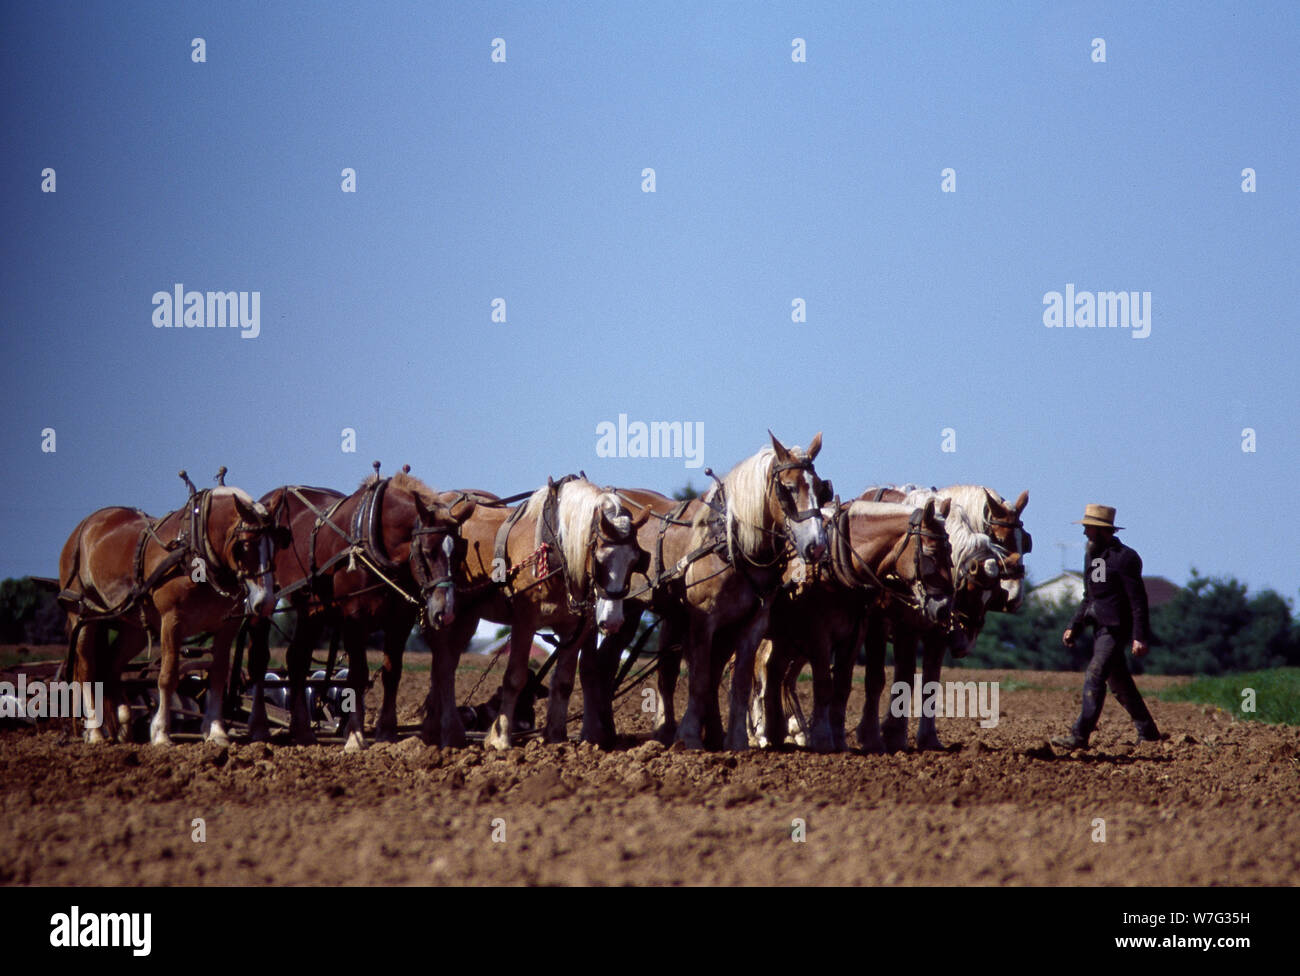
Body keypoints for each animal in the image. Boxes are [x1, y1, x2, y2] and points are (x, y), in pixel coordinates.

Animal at [57, 472, 288, 745]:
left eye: (276, 544)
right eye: (244, 545)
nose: (266, 601)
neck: (198, 552)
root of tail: (87, 525)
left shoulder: (226, 626)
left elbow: (219, 674)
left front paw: (216, 731)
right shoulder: (172, 620)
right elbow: (168, 675)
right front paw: (161, 733)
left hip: (133, 627)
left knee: (112, 665)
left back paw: (124, 724)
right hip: (83, 615)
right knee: (86, 669)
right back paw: (95, 731)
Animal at [247, 466, 475, 751]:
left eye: (459, 553)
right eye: (427, 550)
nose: (445, 611)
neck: (371, 537)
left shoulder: (400, 621)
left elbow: (392, 673)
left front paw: (386, 732)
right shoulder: (355, 619)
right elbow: (357, 674)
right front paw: (355, 736)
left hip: (311, 611)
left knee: (297, 659)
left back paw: (302, 731)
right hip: (263, 599)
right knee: (259, 659)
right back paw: (259, 727)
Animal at [419, 477, 648, 750]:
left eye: (634, 561)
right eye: (600, 558)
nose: (612, 622)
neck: (555, 550)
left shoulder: (575, 629)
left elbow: (564, 681)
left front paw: (556, 737)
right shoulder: (524, 623)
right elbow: (514, 678)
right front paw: (499, 738)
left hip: (466, 616)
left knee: (445, 664)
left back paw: (438, 729)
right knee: (443, 665)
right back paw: (444, 731)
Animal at [749, 496, 957, 752]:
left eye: (950, 551)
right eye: (931, 552)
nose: (944, 607)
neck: (834, 563)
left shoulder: (855, 634)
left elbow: (842, 686)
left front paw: (838, 739)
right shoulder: (819, 634)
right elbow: (824, 684)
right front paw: (823, 739)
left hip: (785, 637)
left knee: (773, 671)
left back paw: (775, 733)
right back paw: (759, 734)